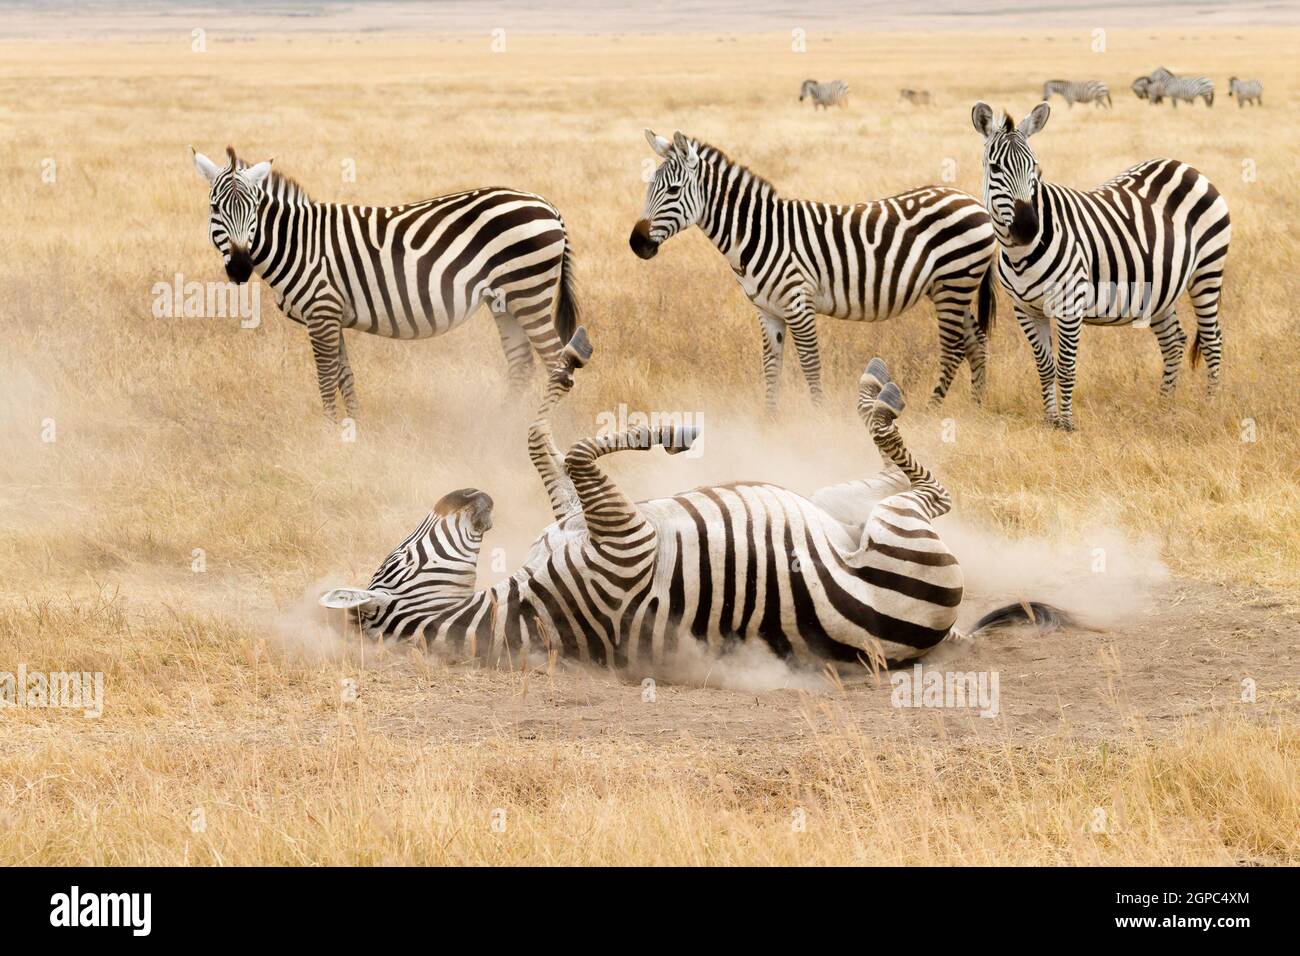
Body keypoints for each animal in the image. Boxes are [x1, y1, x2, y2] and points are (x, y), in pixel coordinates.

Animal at [189, 146, 578, 420]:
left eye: (253, 209)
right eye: (215, 208)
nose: (240, 268)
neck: (298, 242)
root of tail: (548, 206)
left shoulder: (321, 311)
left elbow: (326, 377)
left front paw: (330, 434)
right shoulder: (330, 314)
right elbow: (344, 375)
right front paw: (354, 430)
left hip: (529, 291)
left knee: (557, 364)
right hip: (505, 298)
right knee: (521, 364)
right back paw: (498, 428)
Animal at [321, 329, 1070, 670]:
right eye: (399, 558)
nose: (467, 493)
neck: (525, 608)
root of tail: (942, 634)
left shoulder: (578, 521)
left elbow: (540, 443)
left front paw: (567, 367)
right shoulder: (624, 541)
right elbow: (575, 451)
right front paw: (677, 432)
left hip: (840, 503)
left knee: (906, 476)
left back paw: (872, 389)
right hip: (896, 530)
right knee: (931, 492)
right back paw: (878, 397)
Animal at [628, 130, 997, 413]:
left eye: (673, 190)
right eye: (649, 187)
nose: (636, 243)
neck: (759, 234)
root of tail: (969, 199)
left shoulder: (798, 303)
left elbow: (809, 364)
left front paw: (819, 416)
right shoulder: (768, 311)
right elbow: (771, 365)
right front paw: (770, 421)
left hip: (954, 282)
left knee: (952, 349)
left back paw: (931, 411)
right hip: (953, 287)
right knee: (975, 342)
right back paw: (977, 406)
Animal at [971, 102, 1230, 431]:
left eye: (1035, 168)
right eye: (995, 169)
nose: (1028, 228)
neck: (1020, 254)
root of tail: (1186, 166)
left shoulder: (1070, 305)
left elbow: (1066, 367)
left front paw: (1067, 425)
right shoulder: (1025, 308)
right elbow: (1045, 366)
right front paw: (1050, 420)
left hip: (1208, 271)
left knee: (1212, 340)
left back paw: (1211, 404)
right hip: (1161, 286)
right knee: (1174, 342)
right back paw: (1164, 407)